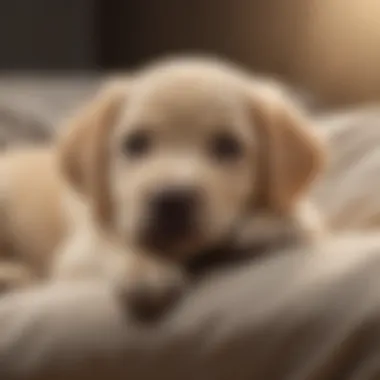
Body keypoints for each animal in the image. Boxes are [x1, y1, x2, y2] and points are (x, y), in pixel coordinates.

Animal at [0, 56, 326, 318]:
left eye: (228, 147)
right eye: (134, 143)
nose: (172, 200)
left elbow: (303, 221)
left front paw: (269, 224)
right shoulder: (77, 254)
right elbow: (113, 240)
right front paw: (145, 269)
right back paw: (10, 275)